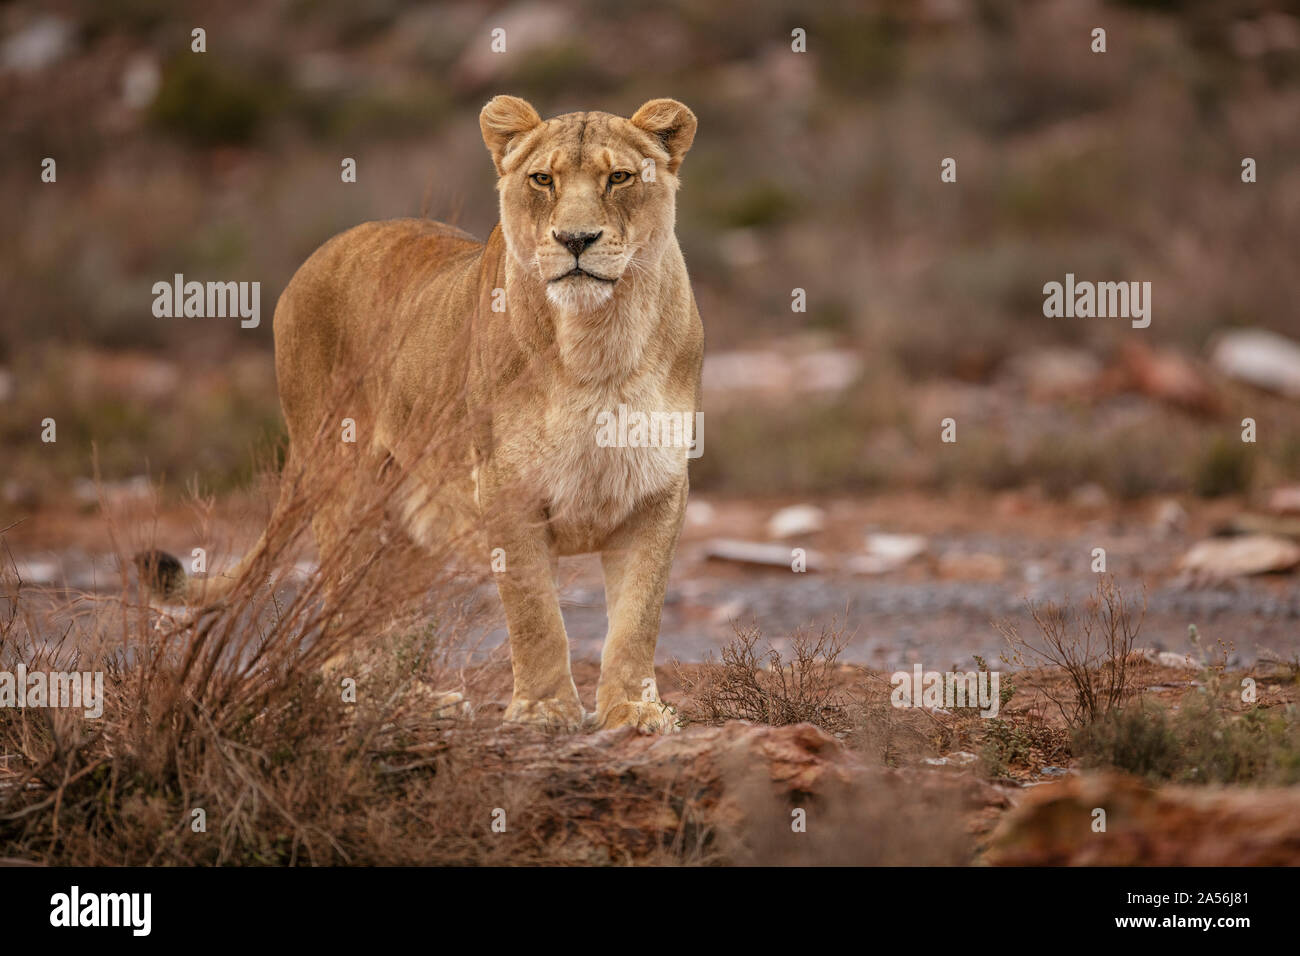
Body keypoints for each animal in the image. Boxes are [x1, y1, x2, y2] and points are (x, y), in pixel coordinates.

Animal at [136, 95, 703, 735]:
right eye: (542, 180)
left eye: (619, 177)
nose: (575, 238)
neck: (598, 340)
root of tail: (318, 256)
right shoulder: (505, 489)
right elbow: (534, 613)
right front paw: (544, 709)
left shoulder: (657, 491)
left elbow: (638, 617)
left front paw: (635, 709)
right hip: (342, 481)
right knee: (343, 617)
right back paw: (373, 700)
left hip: (411, 523)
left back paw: (415, 699)